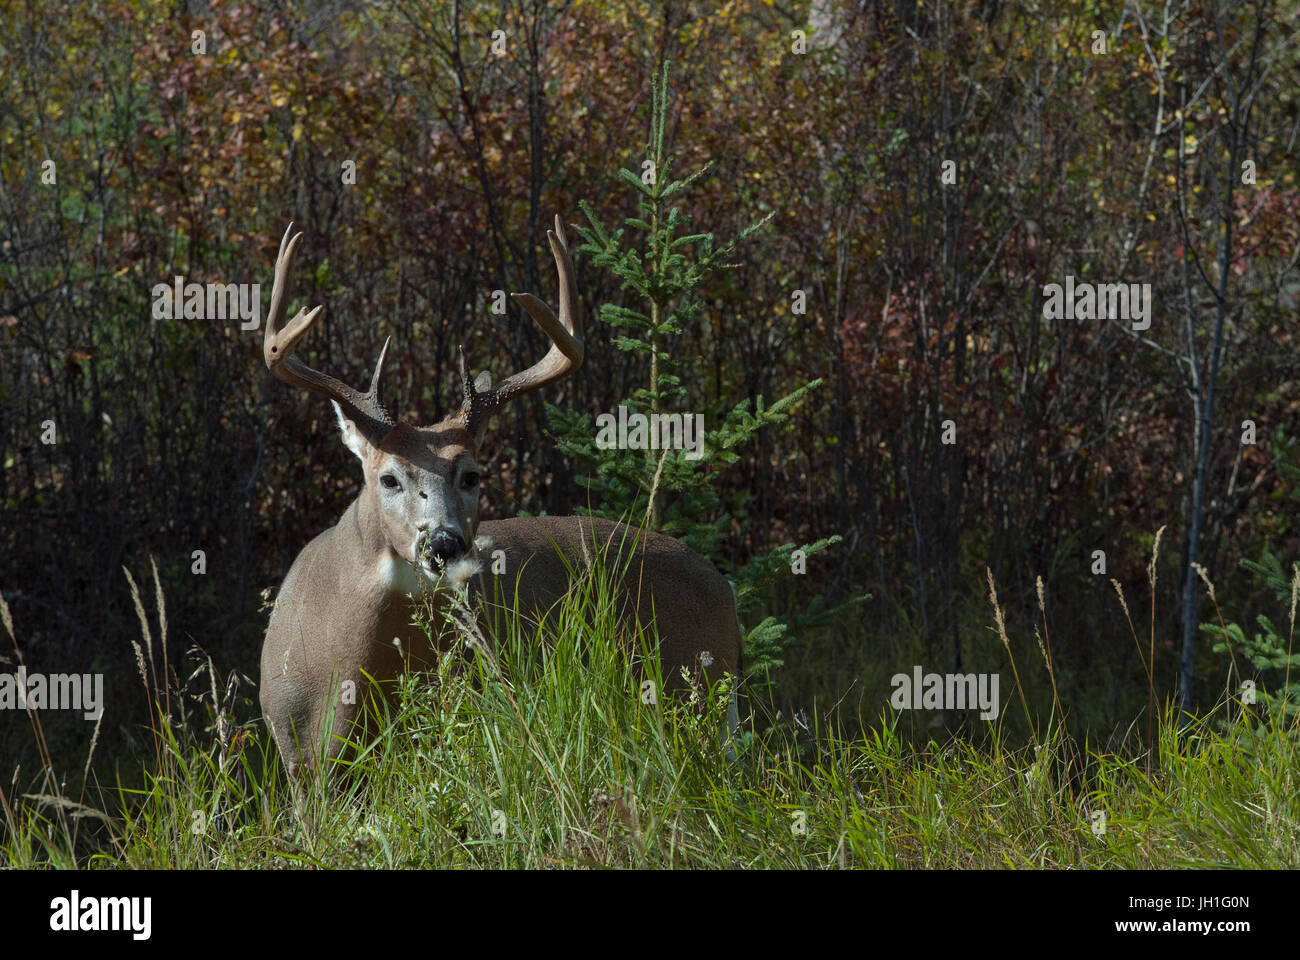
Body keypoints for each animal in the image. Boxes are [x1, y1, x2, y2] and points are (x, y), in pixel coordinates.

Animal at [259, 217, 742, 781]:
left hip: (699, 688)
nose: (444, 543)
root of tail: (725, 587)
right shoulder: (292, 750)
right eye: (389, 479)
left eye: (473, 475)